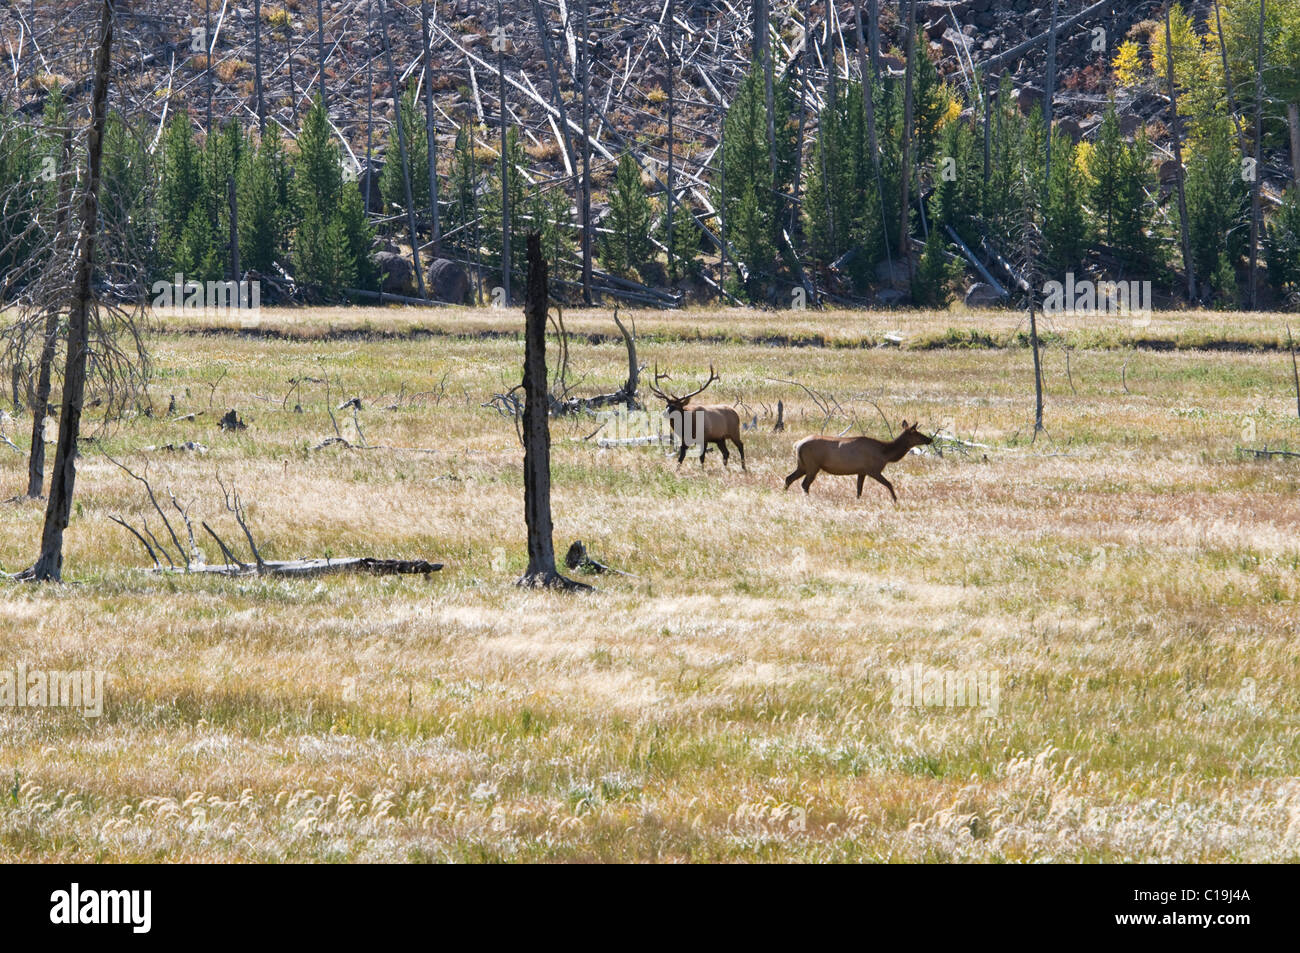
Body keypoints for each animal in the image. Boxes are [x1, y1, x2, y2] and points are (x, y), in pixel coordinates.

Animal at [784, 420, 932, 502]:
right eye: (917, 433)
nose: (930, 439)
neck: (886, 454)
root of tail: (797, 444)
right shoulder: (873, 470)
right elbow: (889, 484)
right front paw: (895, 500)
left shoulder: (862, 471)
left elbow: (859, 490)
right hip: (812, 465)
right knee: (804, 484)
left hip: (802, 465)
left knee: (789, 478)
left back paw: (783, 493)